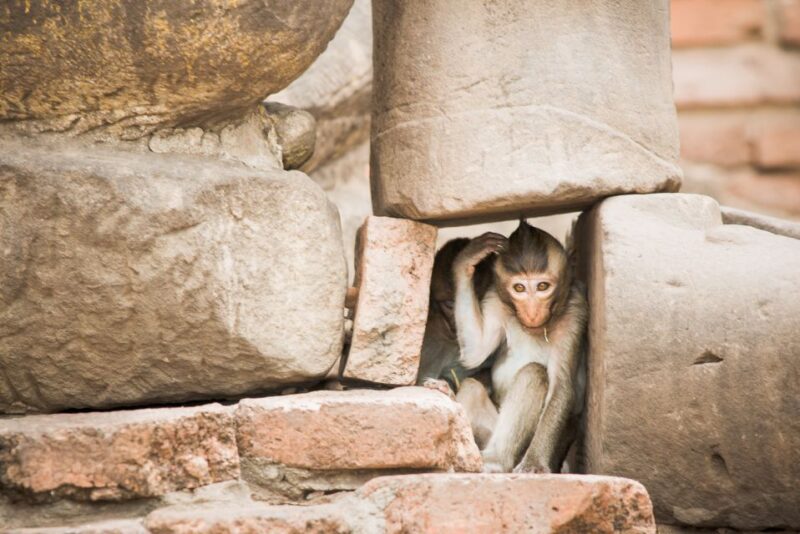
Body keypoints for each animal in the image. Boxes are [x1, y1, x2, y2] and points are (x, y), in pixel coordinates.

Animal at [452, 220, 587, 473]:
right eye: (519, 289)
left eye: (542, 286)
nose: (532, 312)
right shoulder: (495, 299)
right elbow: (475, 352)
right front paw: (466, 259)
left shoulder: (576, 310)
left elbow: (562, 386)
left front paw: (534, 463)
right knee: (472, 386)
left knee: (533, 373)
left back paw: (496, 460)